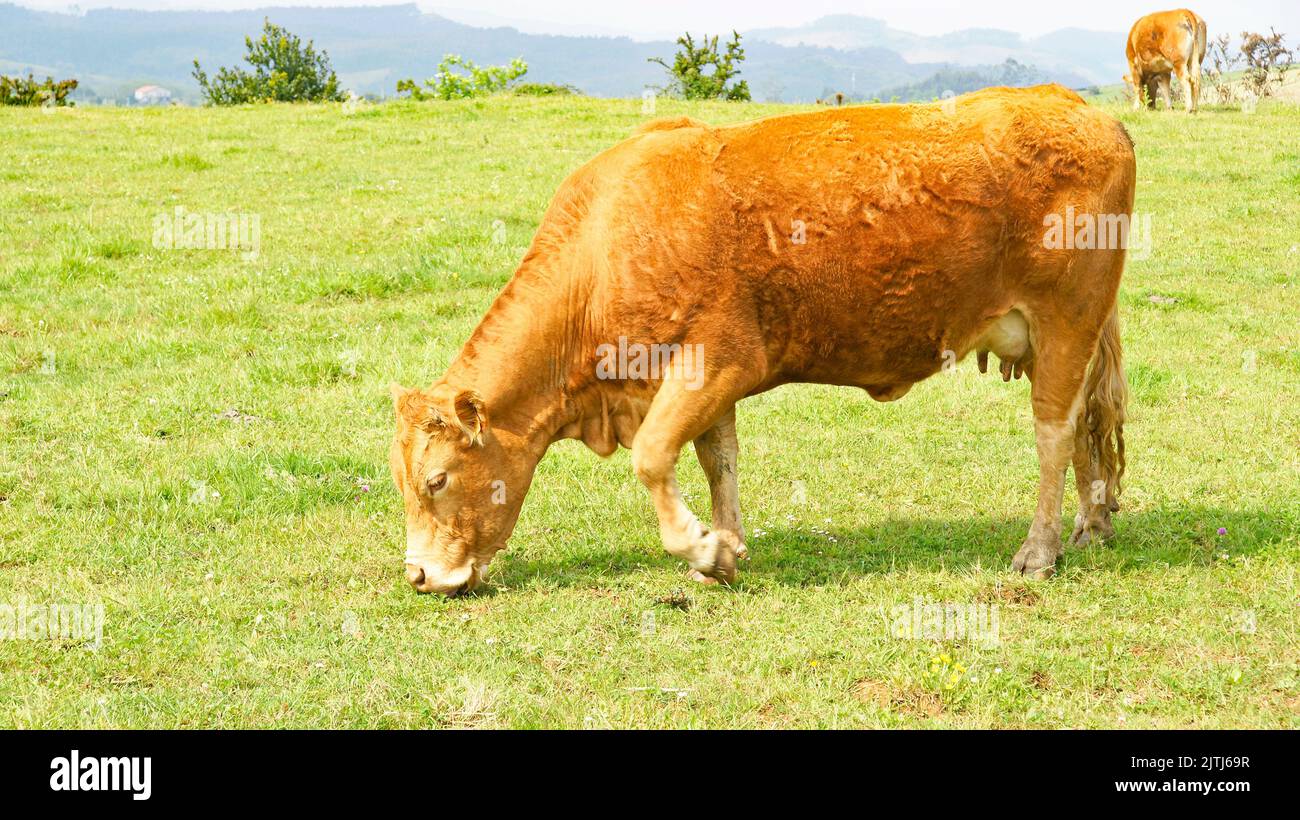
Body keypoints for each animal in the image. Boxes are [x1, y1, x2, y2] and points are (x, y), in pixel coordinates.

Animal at [389, 84, 1134, 596]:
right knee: (1086, 430)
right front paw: (724, 549)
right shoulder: (699, 380)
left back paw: (1039, 550)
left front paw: (700, 547)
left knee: (1054, 432)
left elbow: (654, 456)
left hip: (1065, 321)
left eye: (437, 478)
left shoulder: (719, 358)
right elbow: (718, 459)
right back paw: (1091, 525)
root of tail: (1081, 108)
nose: (419, 575)